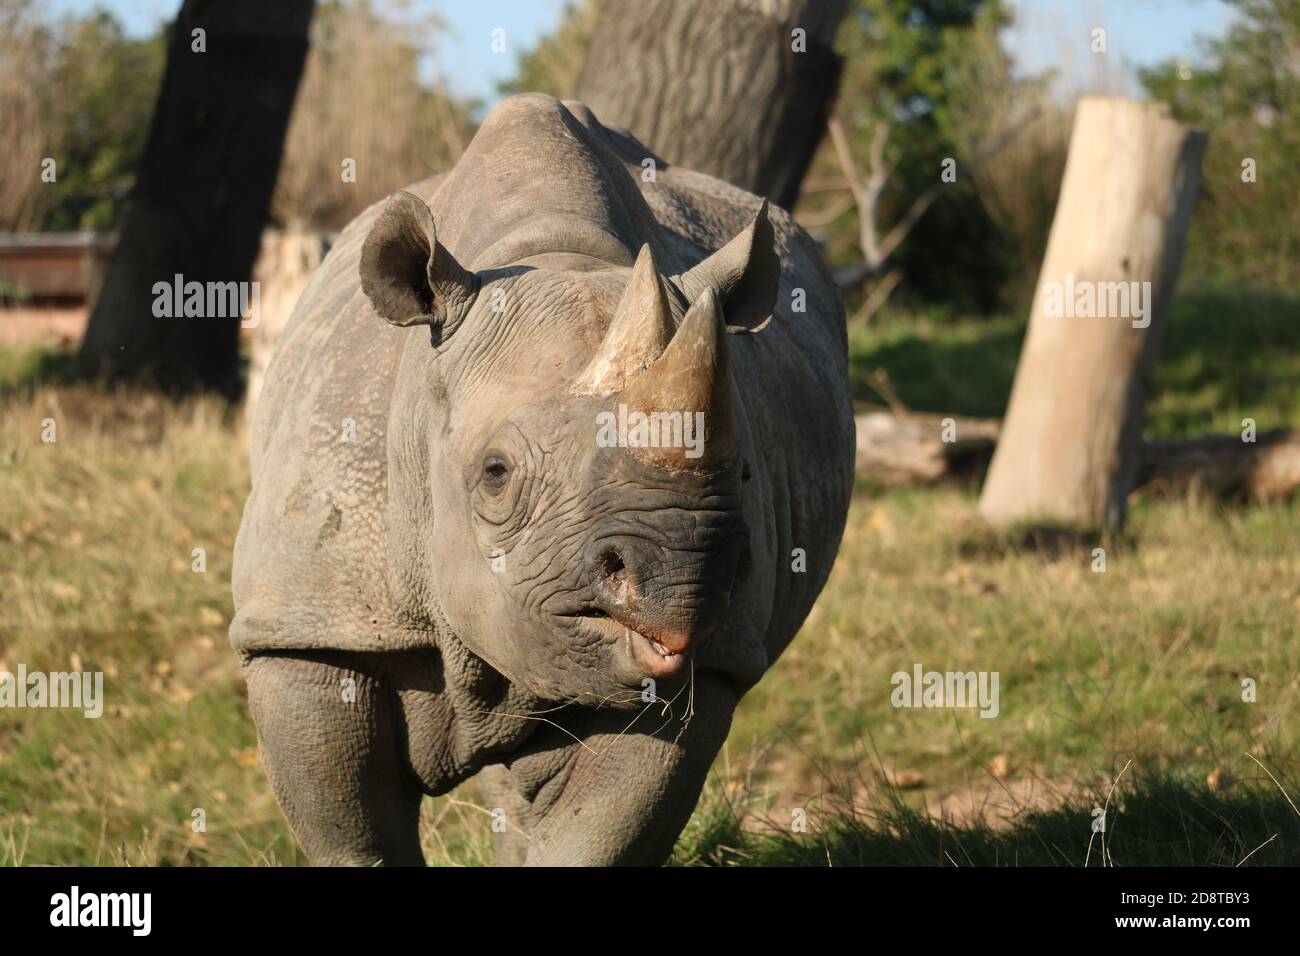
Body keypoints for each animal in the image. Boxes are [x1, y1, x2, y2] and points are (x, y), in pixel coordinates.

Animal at [230, 94, 854, 866]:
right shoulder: (307, 621)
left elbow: (594, 836)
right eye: (495, 474)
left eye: (743, 470)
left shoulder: (703, 662)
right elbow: (352, 834)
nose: (680, 575)